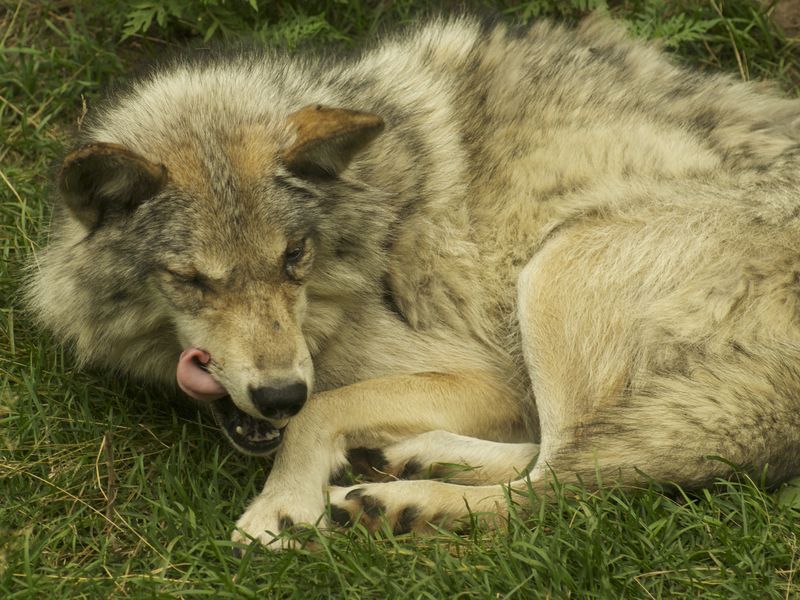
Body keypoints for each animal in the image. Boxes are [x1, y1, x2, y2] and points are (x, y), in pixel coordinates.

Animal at [28, 15, 800, 549]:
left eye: (294, 257)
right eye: (191, 280)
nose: (277, 394)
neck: (369, 224)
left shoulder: (487, 376)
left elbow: (324, 408)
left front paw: (282, 506)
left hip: (558, 267)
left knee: (564, 482)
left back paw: (414, 501)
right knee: (563, 454)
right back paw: (421, 458)